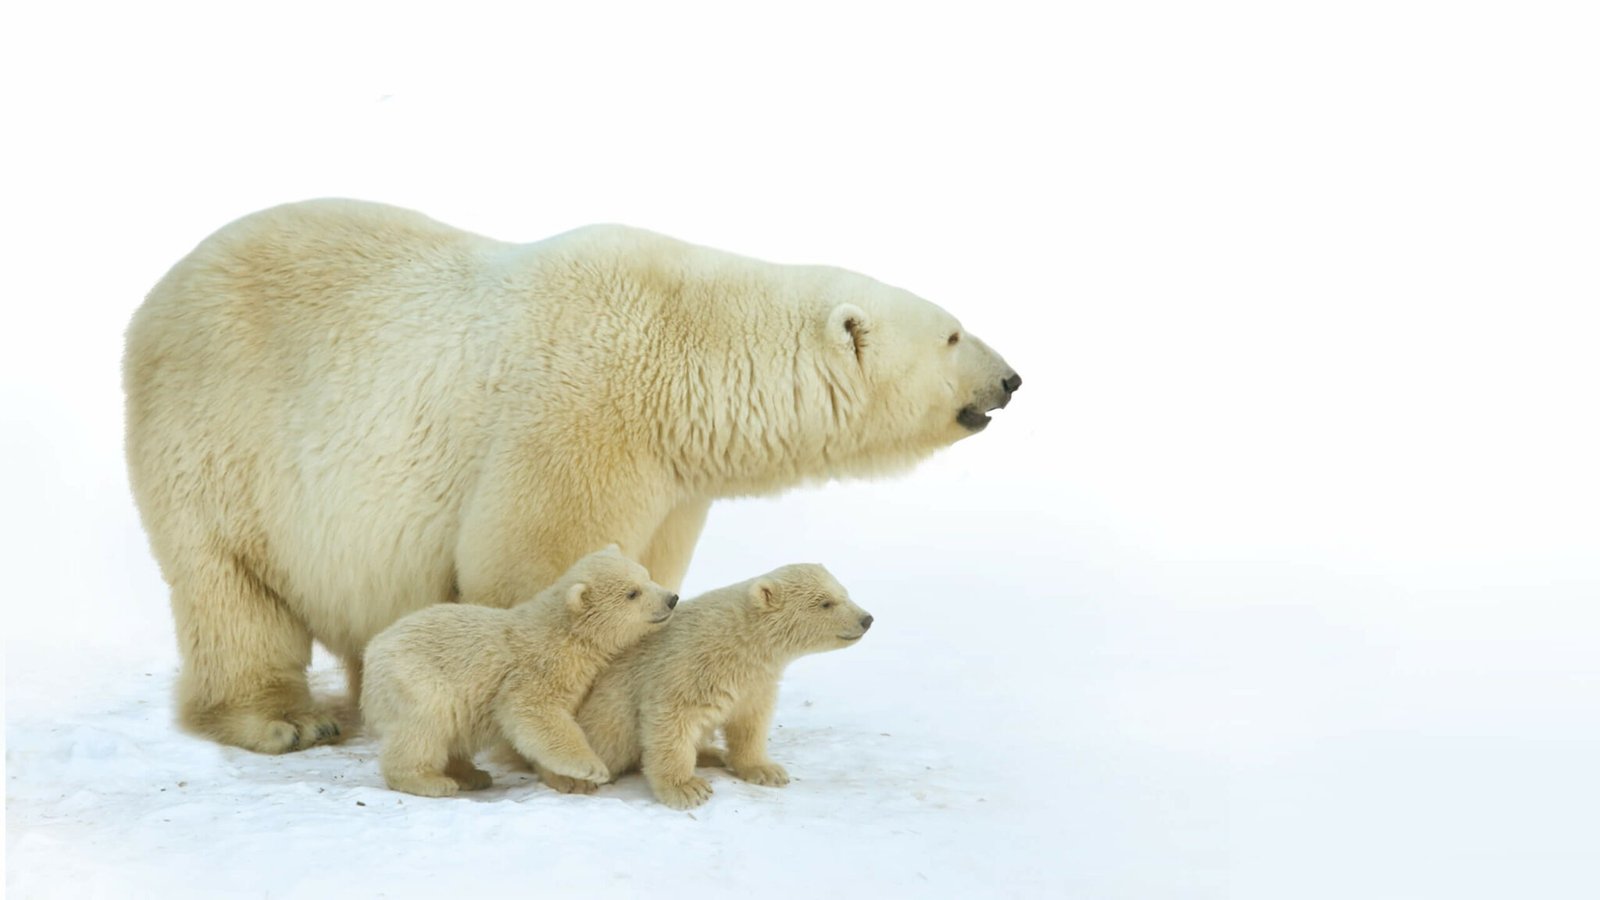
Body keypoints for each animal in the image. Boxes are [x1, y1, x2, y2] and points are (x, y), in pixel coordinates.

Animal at [123, 199, 1019, 753]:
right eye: (952, 333)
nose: (1011, 379)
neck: (688, 354)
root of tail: (157, 296)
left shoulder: (675, 479)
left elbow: (649, 570)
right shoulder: (585, 405)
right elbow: (538, 562)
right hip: (220, 439)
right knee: (230, 588)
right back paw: (284, 721)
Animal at [360, 546, 678, 797]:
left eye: (647, 575)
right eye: (632, 593)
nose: (672, 598)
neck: (564, 634)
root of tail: (371, 651)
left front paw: (570, 782)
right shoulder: (538, 668)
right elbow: (532, 713)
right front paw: (591, 769)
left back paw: (472, 774)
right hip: (412, 676)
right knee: (425, 723)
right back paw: (430, 781)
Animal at [529, 563, 871, 809]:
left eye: (844, 591)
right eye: (825, 603)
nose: (867, 619)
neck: (741, 643)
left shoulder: (756, 681)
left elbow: (749, 723)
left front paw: (767, 771)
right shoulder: (692, 663)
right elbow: (671, 719)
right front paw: (688, 789)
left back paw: (711, 753)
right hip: (599, 720)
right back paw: (572, 779)